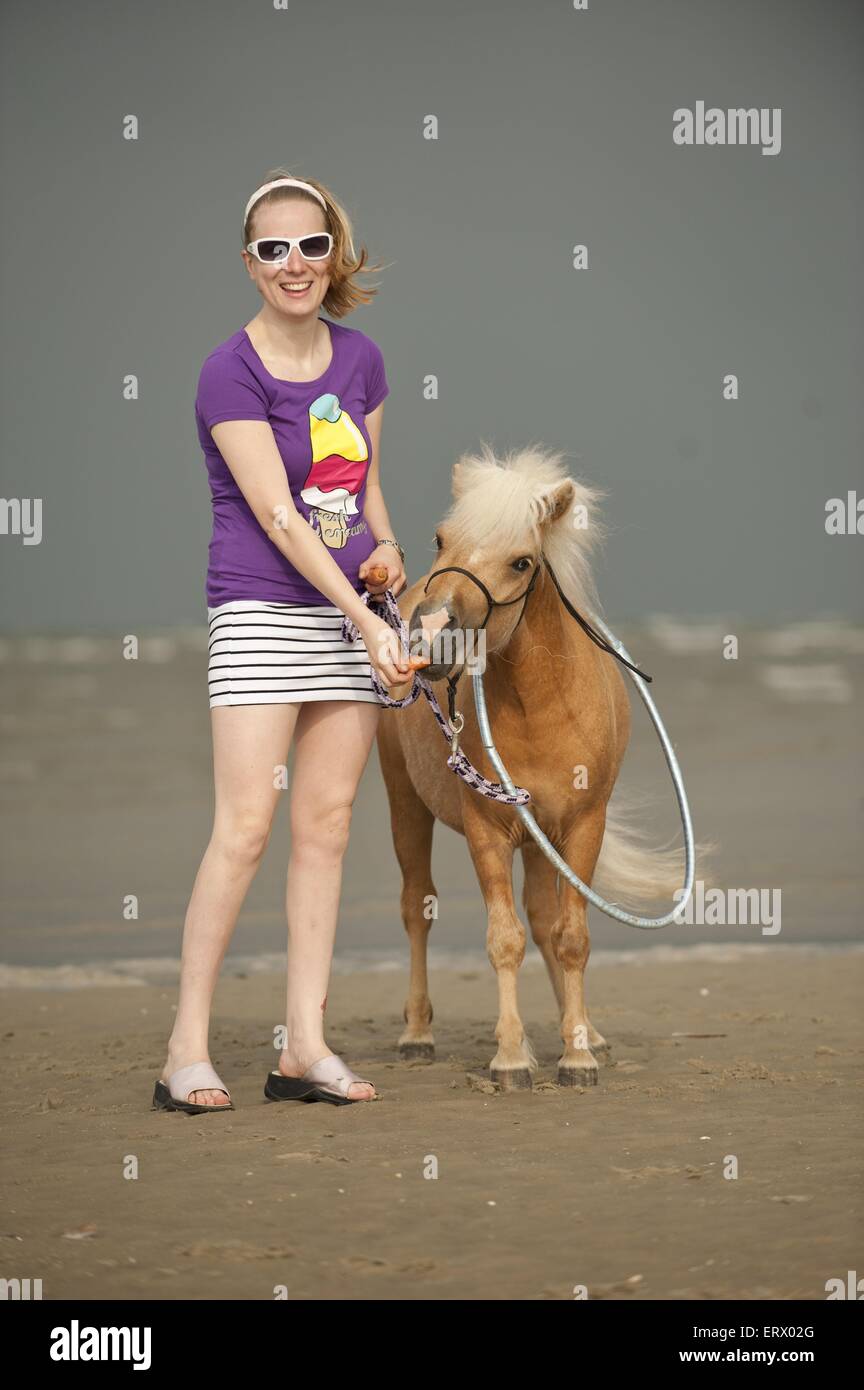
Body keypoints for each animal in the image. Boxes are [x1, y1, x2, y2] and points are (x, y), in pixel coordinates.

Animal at [375, 443, 687, 1089]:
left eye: (522, 562)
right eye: (441, 538)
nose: (430, 636)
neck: (541, 704)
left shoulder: (582, 827)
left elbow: (569, 937)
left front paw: (577, 1054)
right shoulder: (489, 830)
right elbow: (505, 939)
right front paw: (512, 1057)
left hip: (543, 840)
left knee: (547, 921)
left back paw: (585, 1030)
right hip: (405, 803)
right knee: (417, 907)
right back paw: (417, 1034)